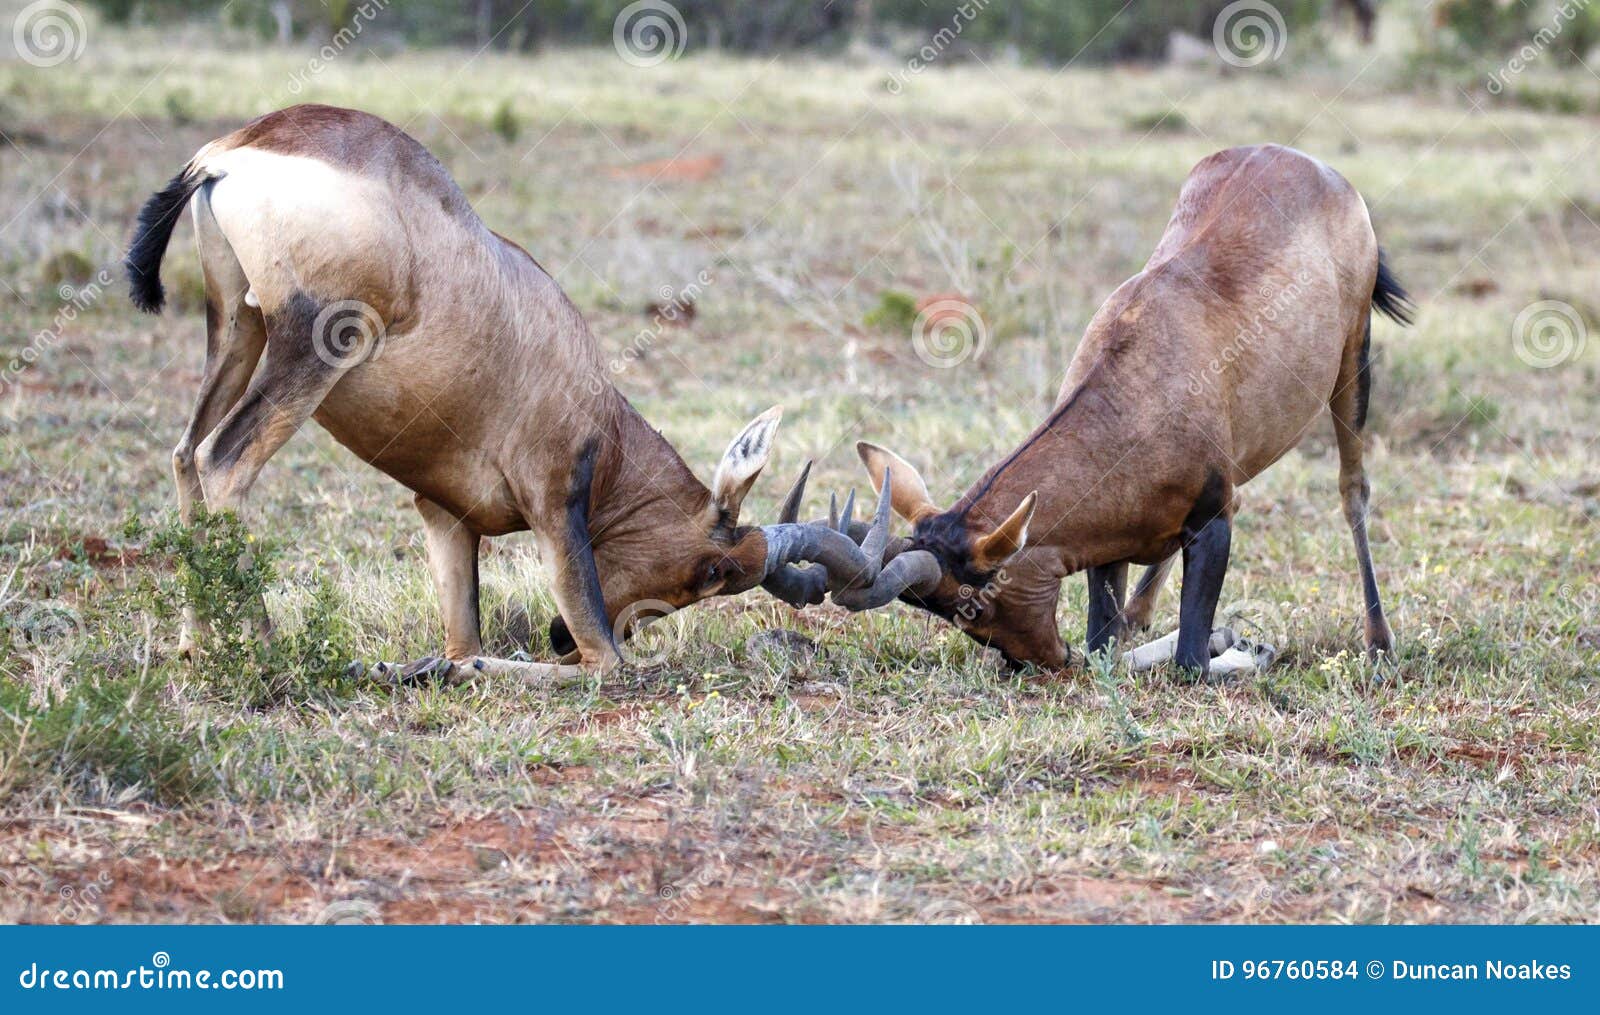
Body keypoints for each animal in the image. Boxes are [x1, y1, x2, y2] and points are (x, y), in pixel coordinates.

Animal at [124, 104, 885, 680]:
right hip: (310, 348)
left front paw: (428, 665)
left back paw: (195, 643)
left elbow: (465, 639)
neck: (597, 416)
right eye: (715, 570)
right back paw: (267, 650)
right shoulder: (555, 505)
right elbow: (601, 666)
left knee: (186, 453)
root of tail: (231, 153)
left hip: (237, 325)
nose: (556, 633)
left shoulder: (444, 517)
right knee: (225, 462)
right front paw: (469, 667)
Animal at [813, 144, 1413, 678]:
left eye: (975, 606)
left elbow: (1189, 663)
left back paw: (1379, 645)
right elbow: (1105, 649)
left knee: (1352, 487)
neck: (1140, 376)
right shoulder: (1109, 539)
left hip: (1353, 360)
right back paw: (1139, 616)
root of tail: (1320, 170)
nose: (1041, 661)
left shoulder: (1212, 522)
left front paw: (1247, 649)